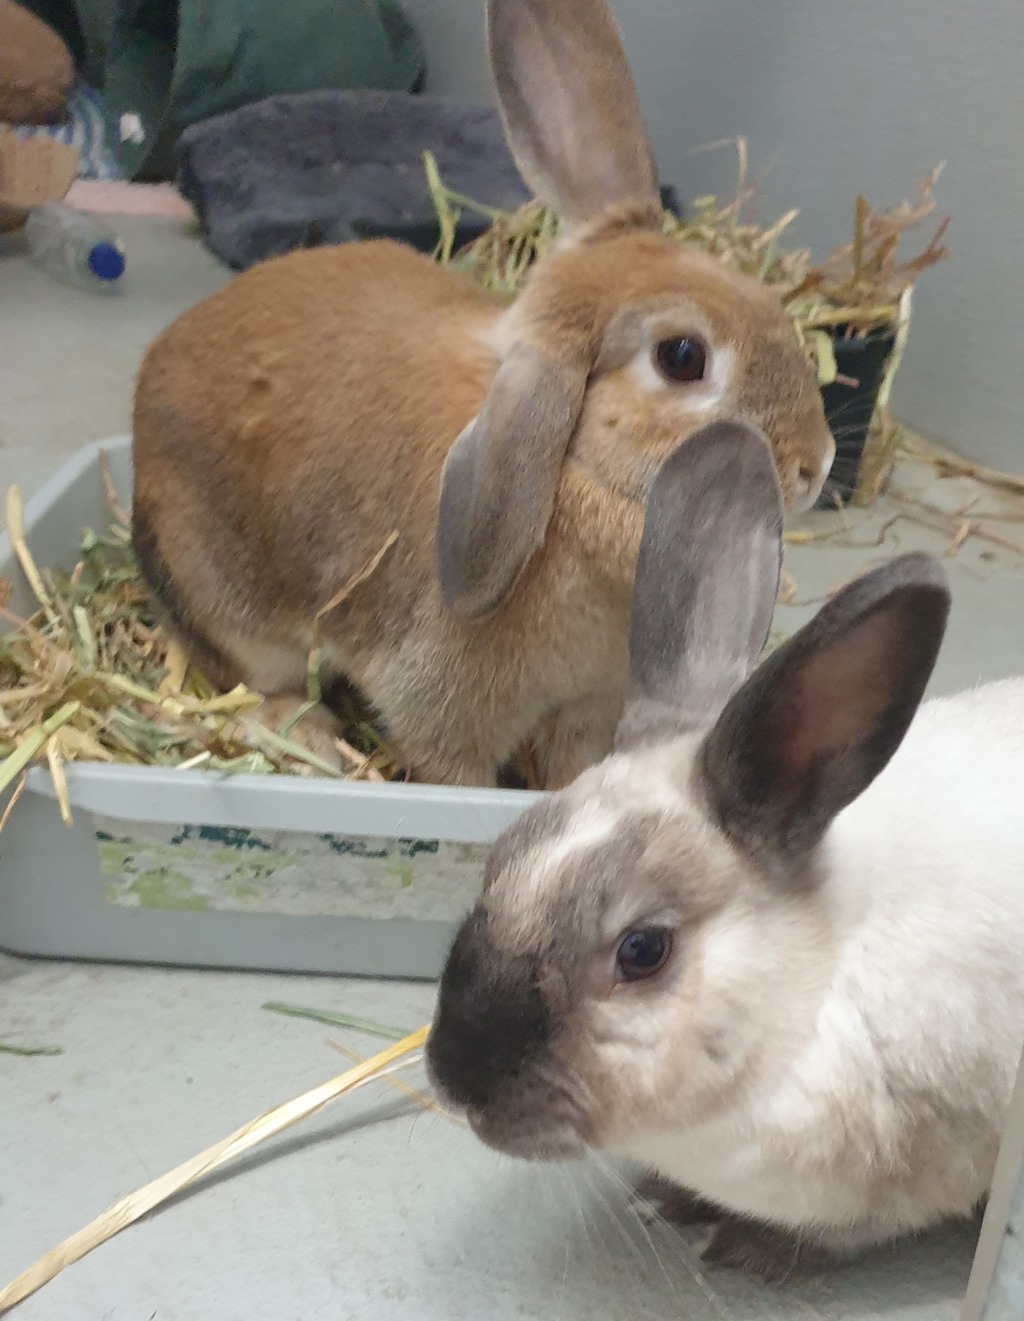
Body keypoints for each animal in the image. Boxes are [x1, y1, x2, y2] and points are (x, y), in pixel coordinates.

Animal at [131, 0, 835, 789]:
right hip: (233, 610)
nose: (817, 463)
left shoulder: (590, 704)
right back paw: (308, 733)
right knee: (250, 680)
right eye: (682, 357)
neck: (573, 469)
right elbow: (454, 771)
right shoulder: (445, 708)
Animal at [426, 419, 1024, 1278]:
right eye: (499, 858)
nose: (453, 1077)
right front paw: (668, 1200)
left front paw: (735, 1239)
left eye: (643, 950)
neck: (813, 993)